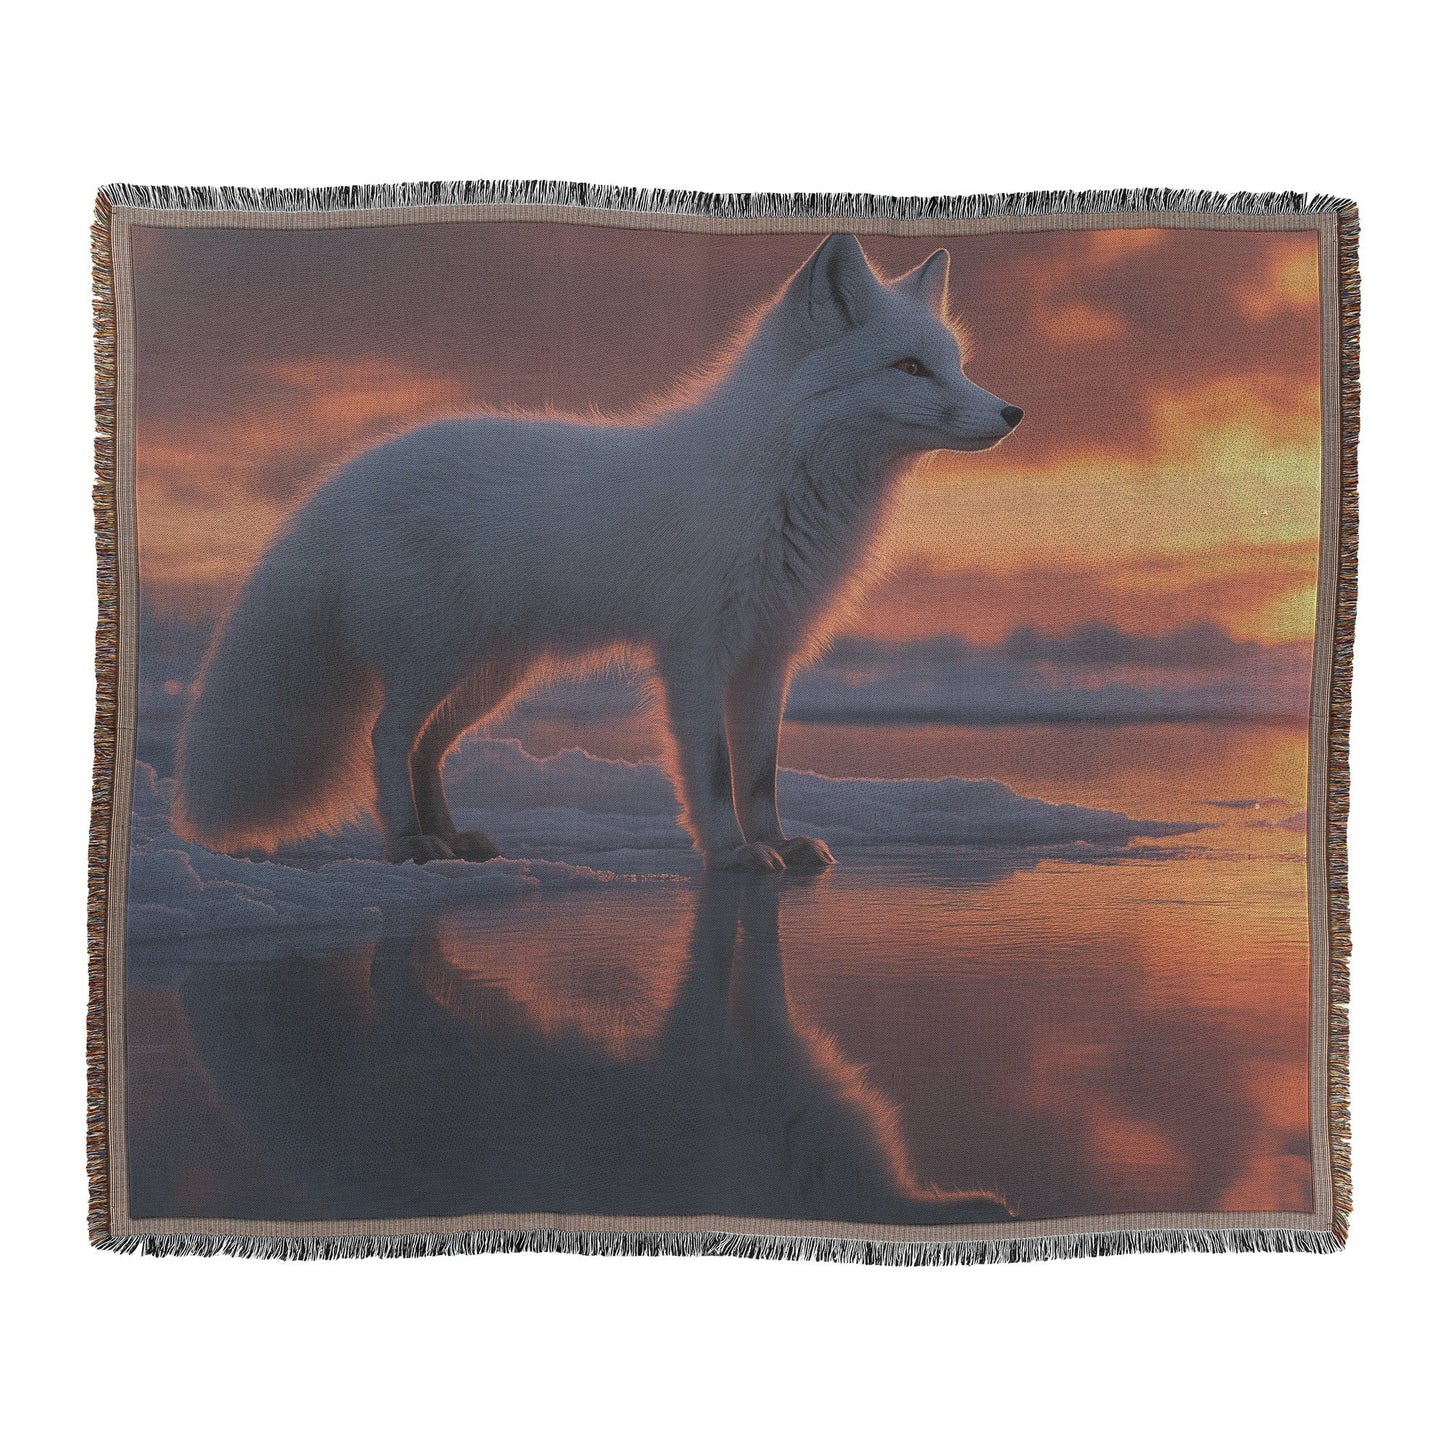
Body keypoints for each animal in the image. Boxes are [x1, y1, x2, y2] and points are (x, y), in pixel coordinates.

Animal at [174, 233, 1023, 870]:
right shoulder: (694, 651)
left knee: (425, 748)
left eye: (955, 364)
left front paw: (777, 845)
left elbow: (760, 775)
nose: (1012, 413)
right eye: (908, 367)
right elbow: (712, 772)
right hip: (436, 657)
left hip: (493, 674)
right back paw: (408, 841)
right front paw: (730, 854)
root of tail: (347, 475)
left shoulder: (767, 655)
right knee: (384, 737)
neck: (780, 479)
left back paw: (450, 834)